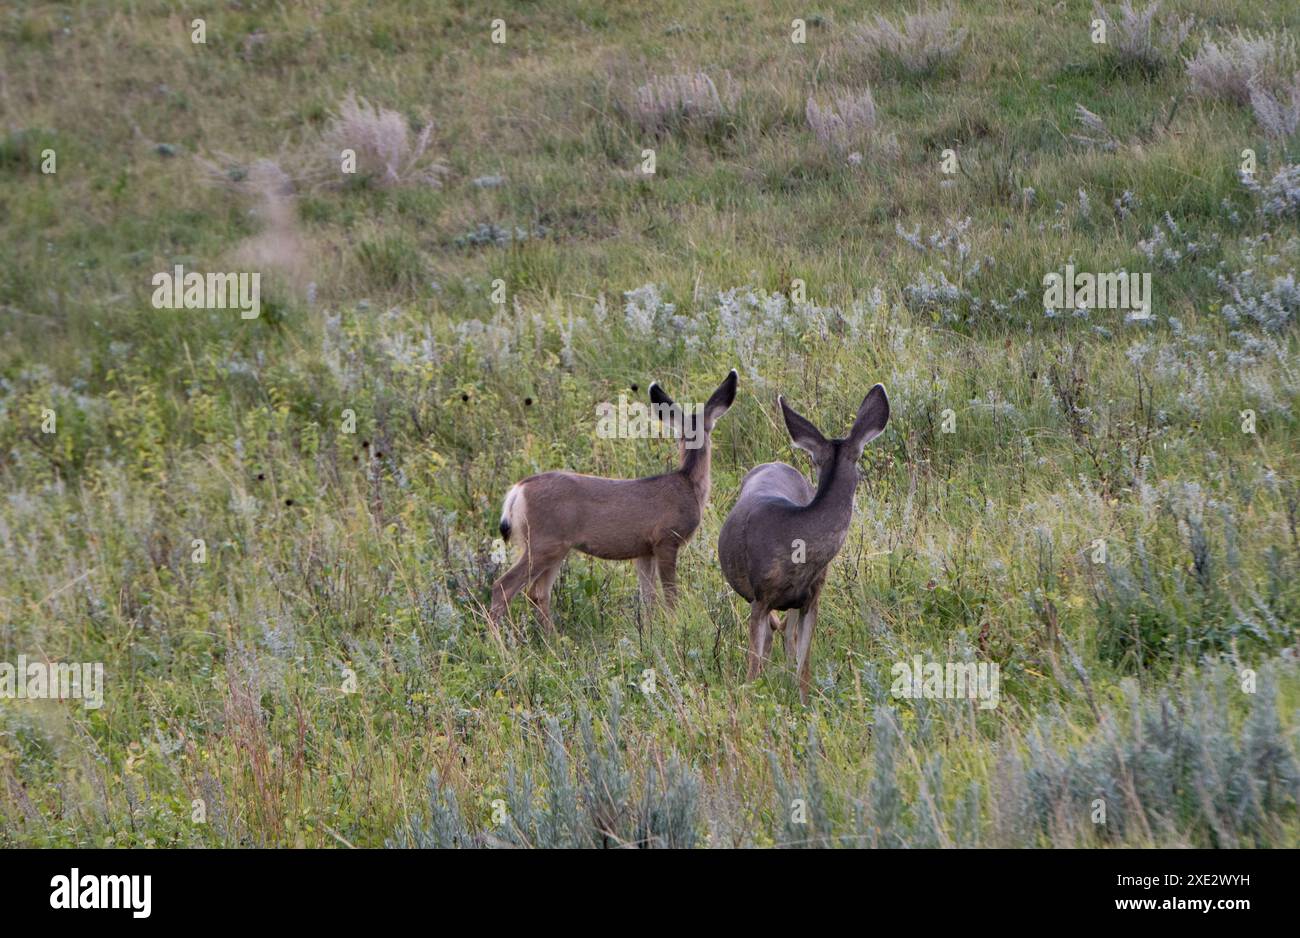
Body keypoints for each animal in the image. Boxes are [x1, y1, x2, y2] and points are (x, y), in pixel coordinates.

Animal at [489, 370, 738, 634]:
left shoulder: (644, 550)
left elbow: (648, 597)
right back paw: (500, 641)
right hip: (542, 542)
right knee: (503, 587)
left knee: (536, 593)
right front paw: (674, 626)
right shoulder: (666, 539)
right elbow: (670, 596)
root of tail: (518, 491)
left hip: (553, 547)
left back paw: (553, 640)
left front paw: (649, 632)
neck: (688, 483)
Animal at [717, 384, 889, 704]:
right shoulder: (760, 596)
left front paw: (804, 703)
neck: (798, 545)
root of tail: (773, 463)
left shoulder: (812, 598)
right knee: (770, 639)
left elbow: (804, 666)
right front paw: (749, 702)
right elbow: (752, 667)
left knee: (786, 636)